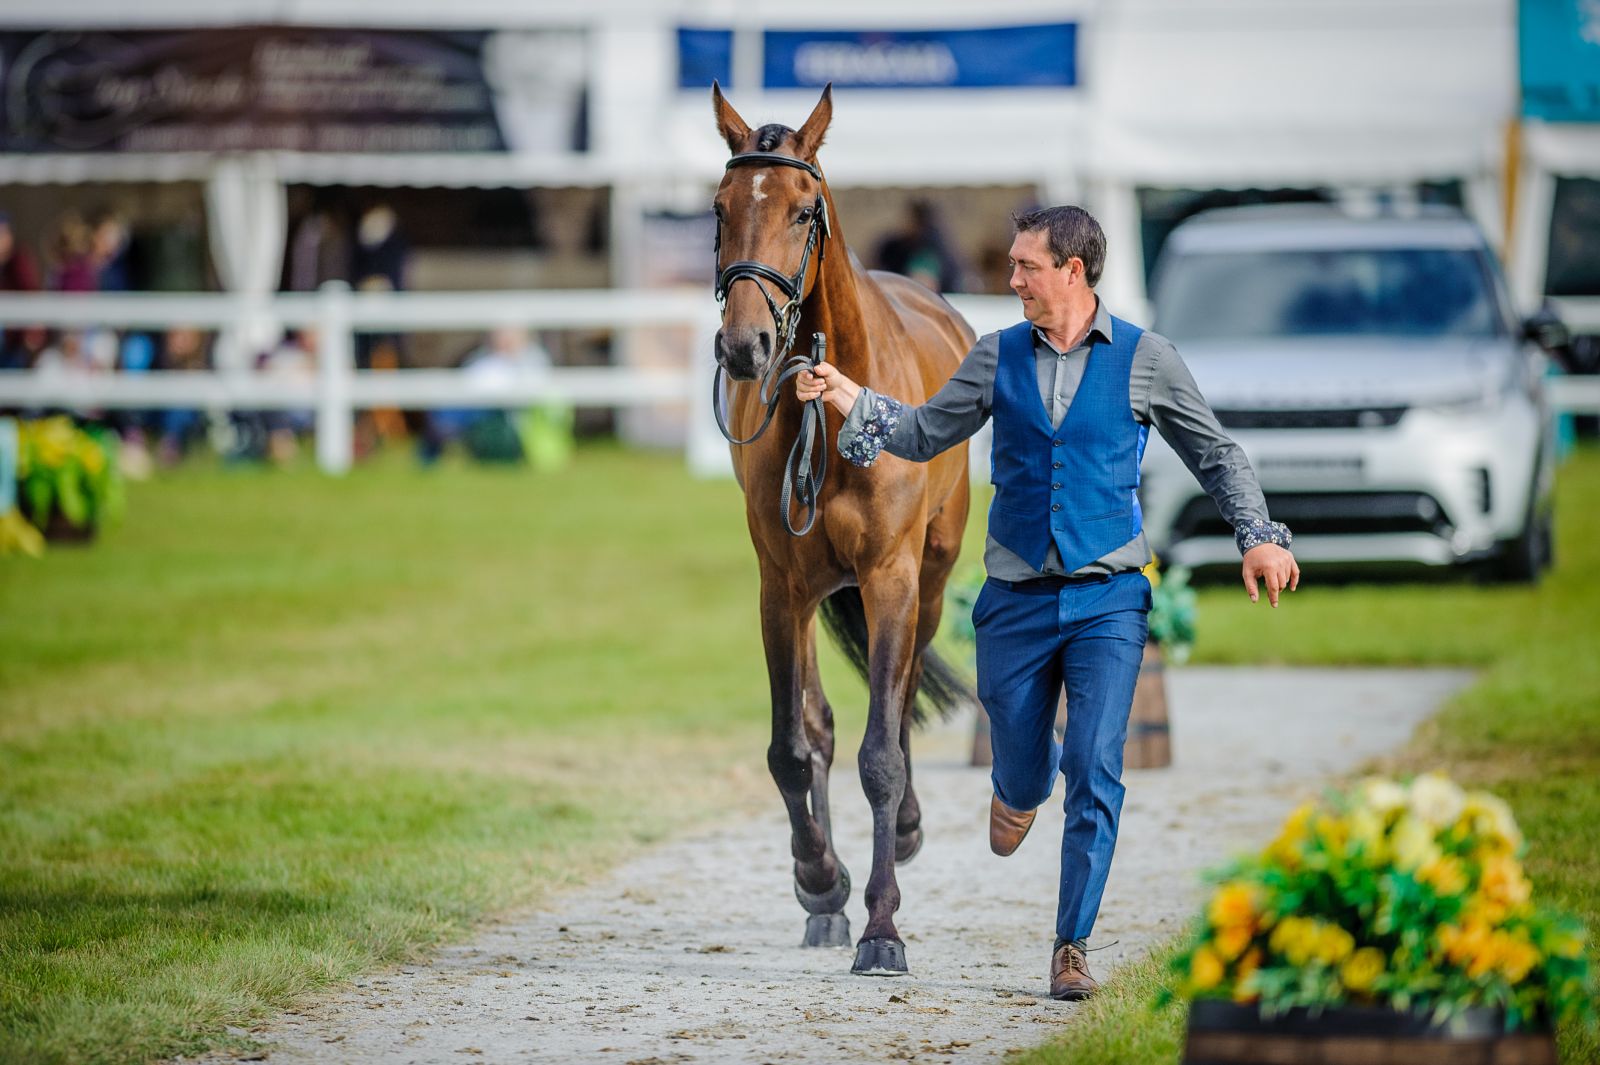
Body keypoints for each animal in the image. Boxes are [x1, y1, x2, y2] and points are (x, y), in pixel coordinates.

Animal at [709, 82, 977, 976]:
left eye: (803, 210)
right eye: (720, 208)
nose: (746, 345)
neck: (830, 408)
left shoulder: (891, 578)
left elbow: (881, 753)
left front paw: (882, 925)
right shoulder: (781, 589)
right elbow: (794, 745)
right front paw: (821, 881)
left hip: (931, 579)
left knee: (899, 700)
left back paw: (908, 829)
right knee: (822, 723)